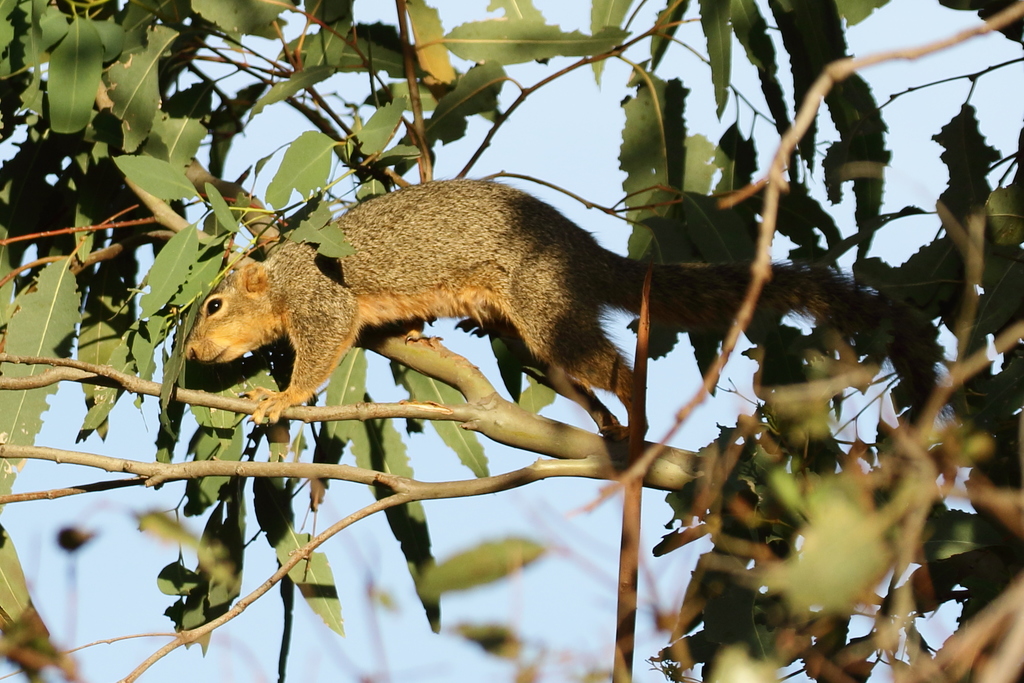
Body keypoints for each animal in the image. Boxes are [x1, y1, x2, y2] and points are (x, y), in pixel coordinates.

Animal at [185, 179, 943, 426]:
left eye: (213, 306)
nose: (190, 352)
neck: (282, 276)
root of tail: (582, 250)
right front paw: (423, 338)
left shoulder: (324, 299)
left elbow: (323, 347)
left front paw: (281, 396)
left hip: (545, 306)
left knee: (607, 363)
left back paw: (631, 406)